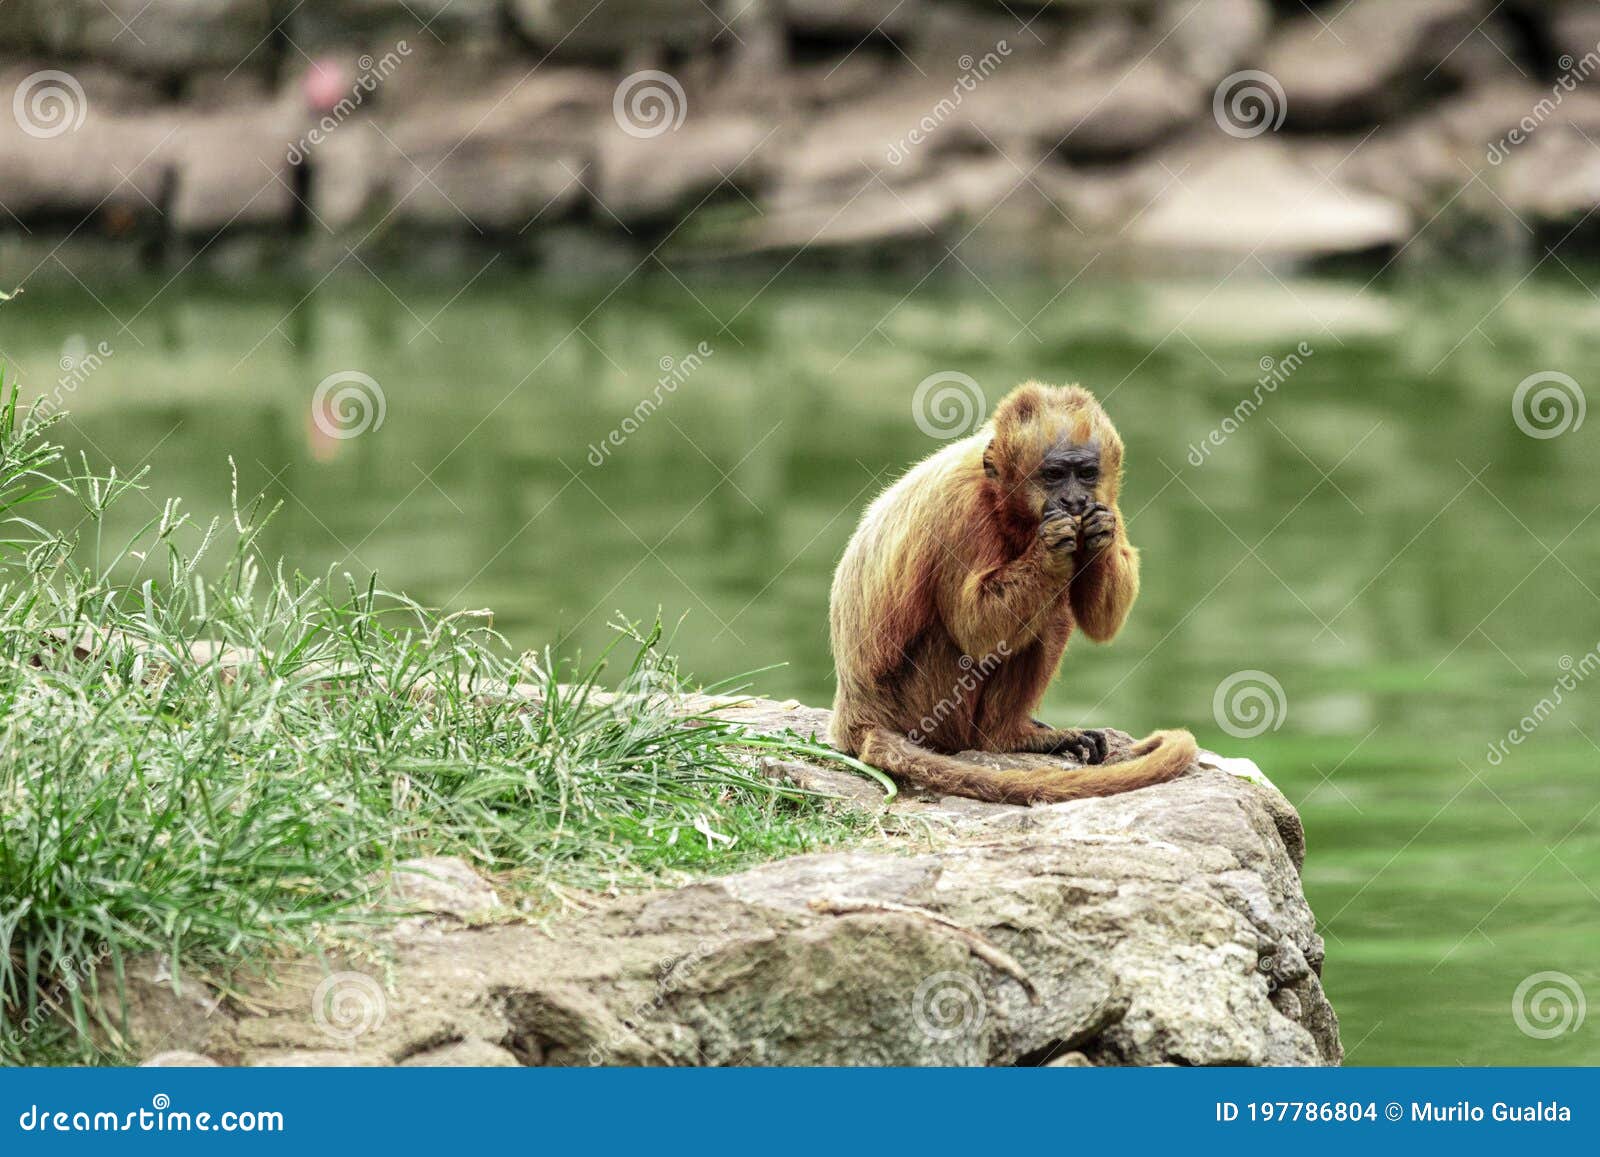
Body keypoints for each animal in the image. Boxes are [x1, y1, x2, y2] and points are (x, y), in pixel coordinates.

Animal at [827, 381, 1196, 805]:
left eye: (1086, 474)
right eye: (1054, 475)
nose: (1074, 500)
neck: (1002, 499)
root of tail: (855, 716)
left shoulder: (1107, 501)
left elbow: (1100, 622)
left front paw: (1097, 535)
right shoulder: (963, 512)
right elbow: (974, 631)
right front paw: (1050, 549)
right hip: (922, 709)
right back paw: (1005, 739)